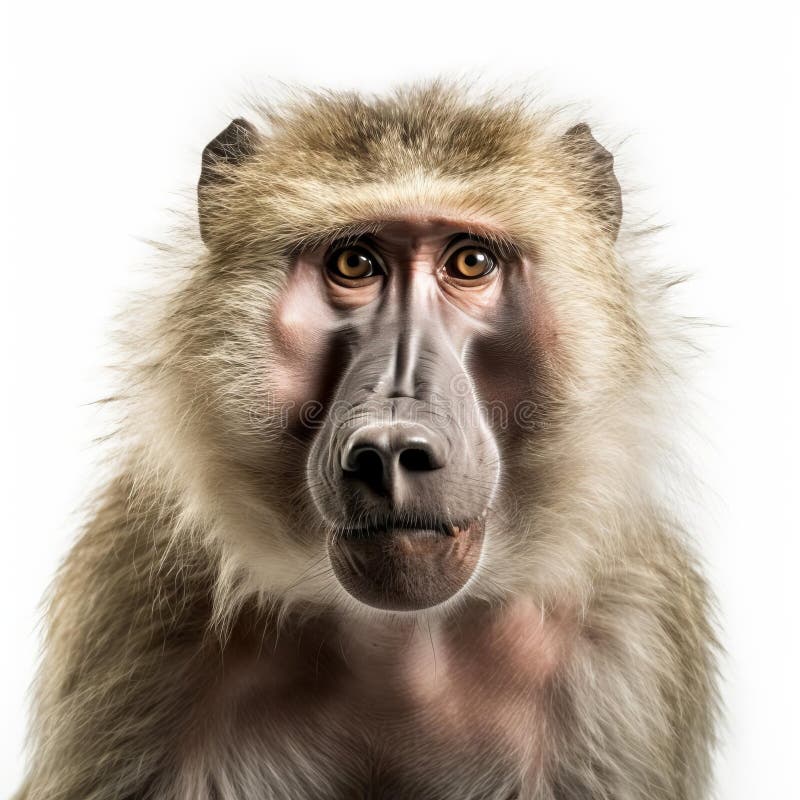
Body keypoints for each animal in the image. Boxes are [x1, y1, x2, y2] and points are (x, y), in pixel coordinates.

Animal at [15, 83, 718, 800]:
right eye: (354, 263)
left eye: (472, 262)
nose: (391, 445)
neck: (399, 647)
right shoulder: (134, 614)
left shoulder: (627, 638)